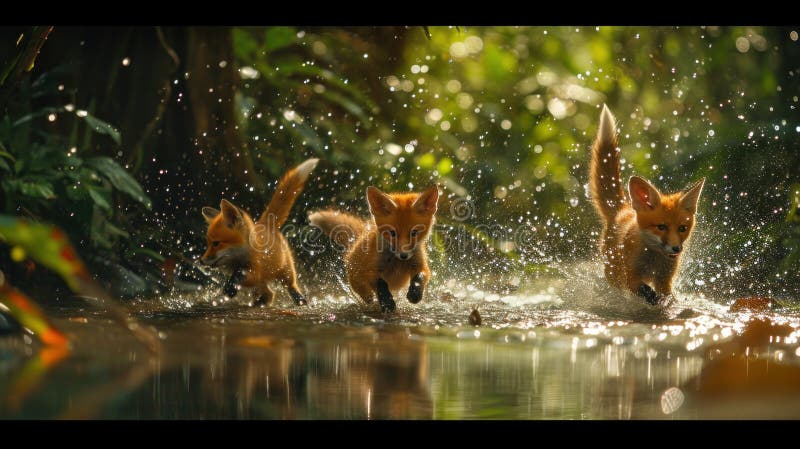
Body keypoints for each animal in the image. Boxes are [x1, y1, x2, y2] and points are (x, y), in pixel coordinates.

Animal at [200, 158, 319, 306]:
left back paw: (300, 300)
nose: (201, 261)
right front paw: (230, 289)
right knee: (270, 294)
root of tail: (266, 223)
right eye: (208, 243)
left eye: (216, 243)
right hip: (266, 281)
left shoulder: (255, 271)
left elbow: (239, 274)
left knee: (290, 286)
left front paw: (231, 286)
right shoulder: (252, 275)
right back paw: (260, 303)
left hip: (285, 271)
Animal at [308, 185, 439, 313]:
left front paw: (414, 294)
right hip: (356, 278)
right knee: (365, 293)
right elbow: (381, 284)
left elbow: (419, 277)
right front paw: (388, 303)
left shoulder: (419, 265)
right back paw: (369, 298)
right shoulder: (370, 269)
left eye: (414, 232)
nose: (403, 255)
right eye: (392, 233)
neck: (396, 261)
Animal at [590, 105, 705, 305]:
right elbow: (641, 289)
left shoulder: (665, 280)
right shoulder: (631, 275)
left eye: (682, 228)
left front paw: (664, 302)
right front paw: (651, 298)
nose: (676, 249)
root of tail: (623, 208)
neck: (654, 259)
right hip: (613, 273)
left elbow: (667, 295)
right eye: (661, 227)